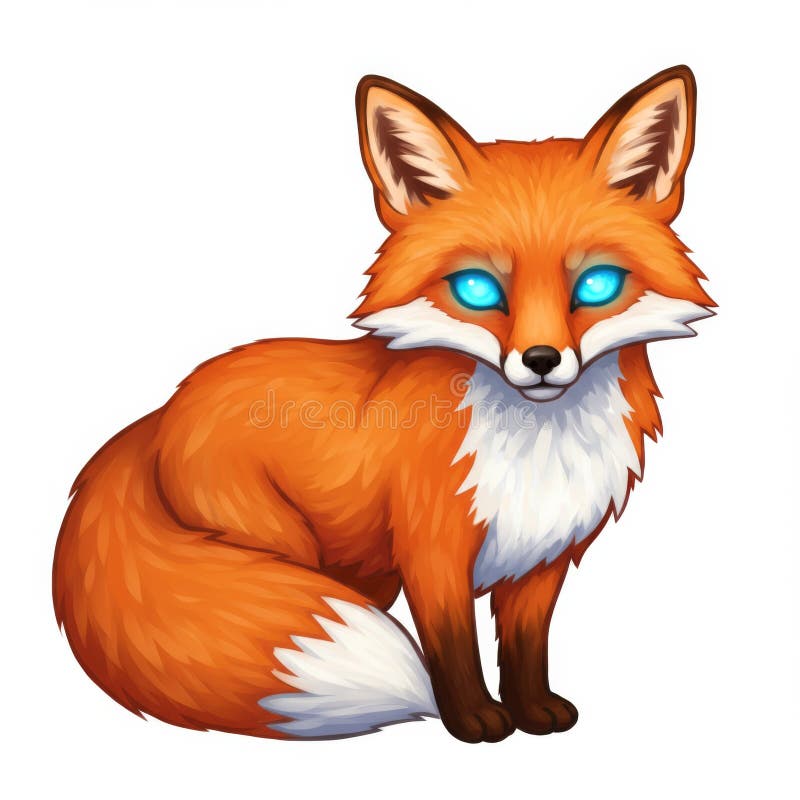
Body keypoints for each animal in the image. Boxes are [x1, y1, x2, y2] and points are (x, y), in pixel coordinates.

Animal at [53, 66, 714, 743]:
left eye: (596, 285)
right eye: (477, 289)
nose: (541, 360)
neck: (536, 451)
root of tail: (156, 417)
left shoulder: (542, 556)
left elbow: (527, 647)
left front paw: (534, 710)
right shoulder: (432, 549)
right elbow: (452, 645)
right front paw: (472, 718)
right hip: (282, 542)